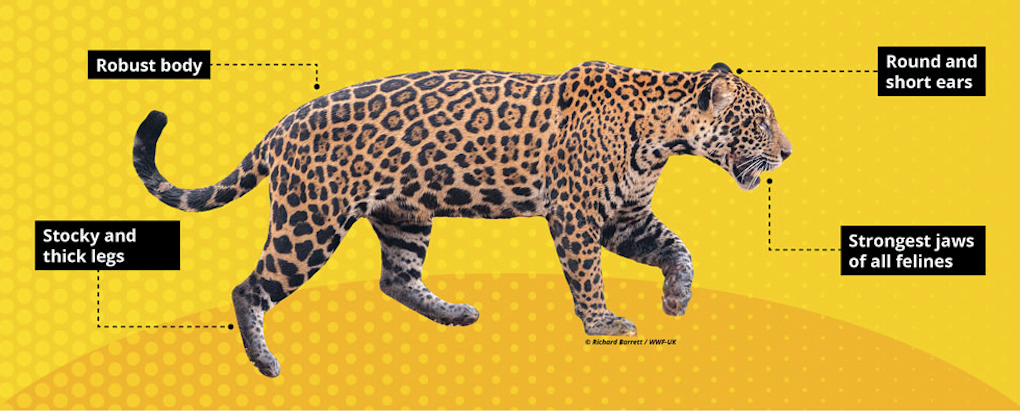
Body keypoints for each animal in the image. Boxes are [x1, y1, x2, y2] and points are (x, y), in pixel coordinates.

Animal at [132, 61, 792, 377]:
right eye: (759, 121)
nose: (787, 153)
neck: (664, 136)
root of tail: (281, 125)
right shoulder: (579, 216)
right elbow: (587, 275)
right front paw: (603, 323)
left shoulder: (625, 217)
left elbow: (678, 247)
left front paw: (676, 300)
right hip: (309, 221)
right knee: (250, 287)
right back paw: (264, 362)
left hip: (403, 213)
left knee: (396, 278)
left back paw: (453, 313)